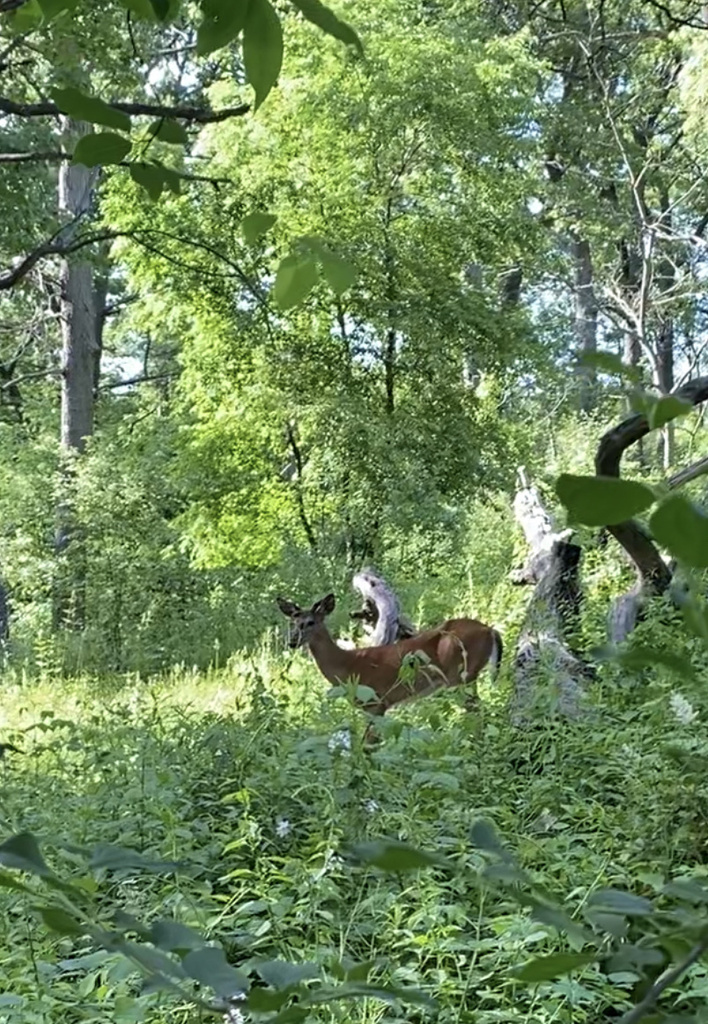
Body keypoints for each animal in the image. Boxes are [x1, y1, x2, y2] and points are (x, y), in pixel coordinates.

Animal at [277, 593, 502, 743]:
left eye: (310, 622)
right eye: (292, 622)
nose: (292, 641)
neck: (347, 665)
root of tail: (490, 630)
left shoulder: (376, 702)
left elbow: (368, 745)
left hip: (461, 675)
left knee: (478, 710)